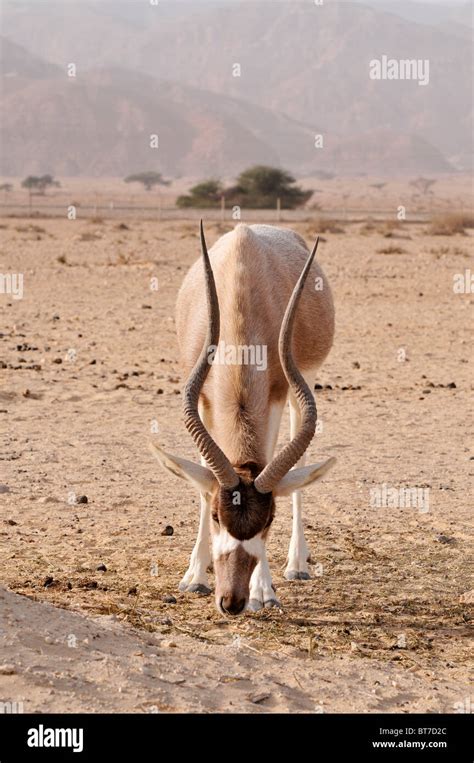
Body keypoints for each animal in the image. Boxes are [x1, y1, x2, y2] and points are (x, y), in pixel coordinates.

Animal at [150, 222, 335, 615]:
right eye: (218, 517)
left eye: (269, 520)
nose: (231, 601)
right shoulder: (203, 399)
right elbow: (202, 482)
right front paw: (195, 577)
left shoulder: (277, 395)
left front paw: (262, 591)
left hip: (304, 384)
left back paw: (297, 564)